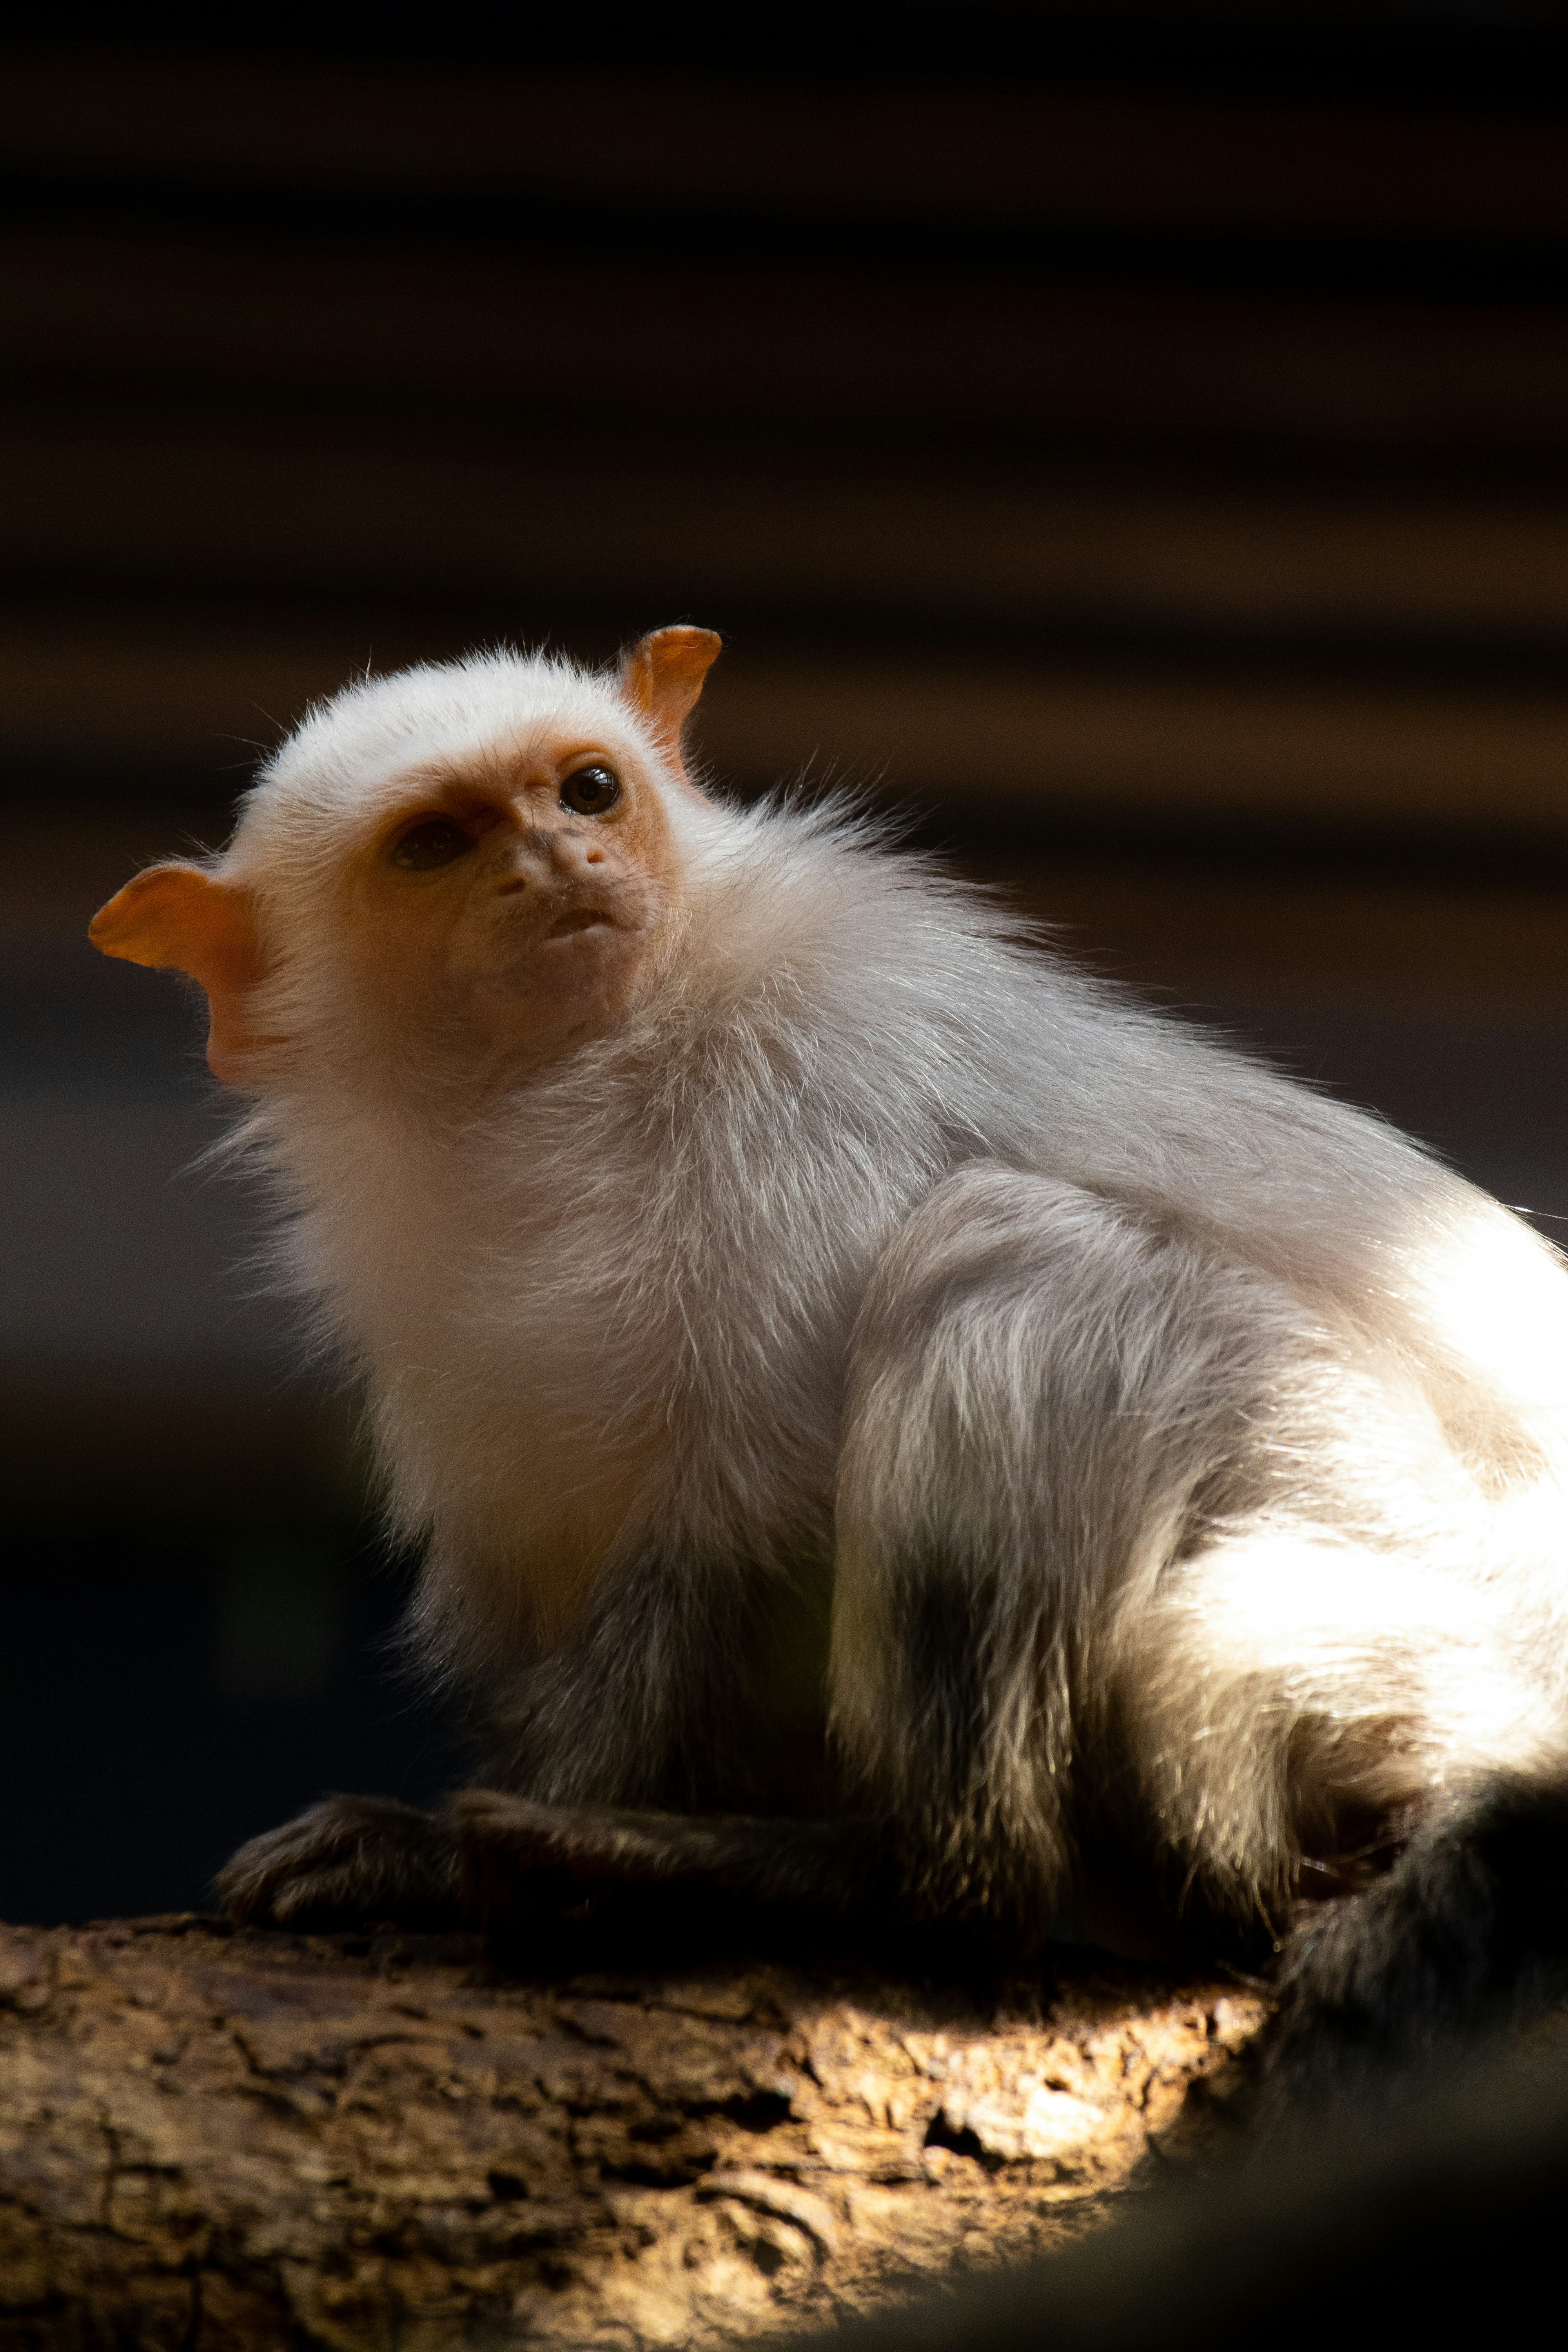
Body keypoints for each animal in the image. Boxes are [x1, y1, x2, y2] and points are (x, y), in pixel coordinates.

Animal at [89, 624, 1568, 2108]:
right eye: (436, 846)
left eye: (586, 793)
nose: (554, 867)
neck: (552, 1091)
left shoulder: (800, 1085)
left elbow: (745, 1518)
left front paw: (438, 1859)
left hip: (1394, 1581)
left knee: (1013, 1252)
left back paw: (862, 1878)